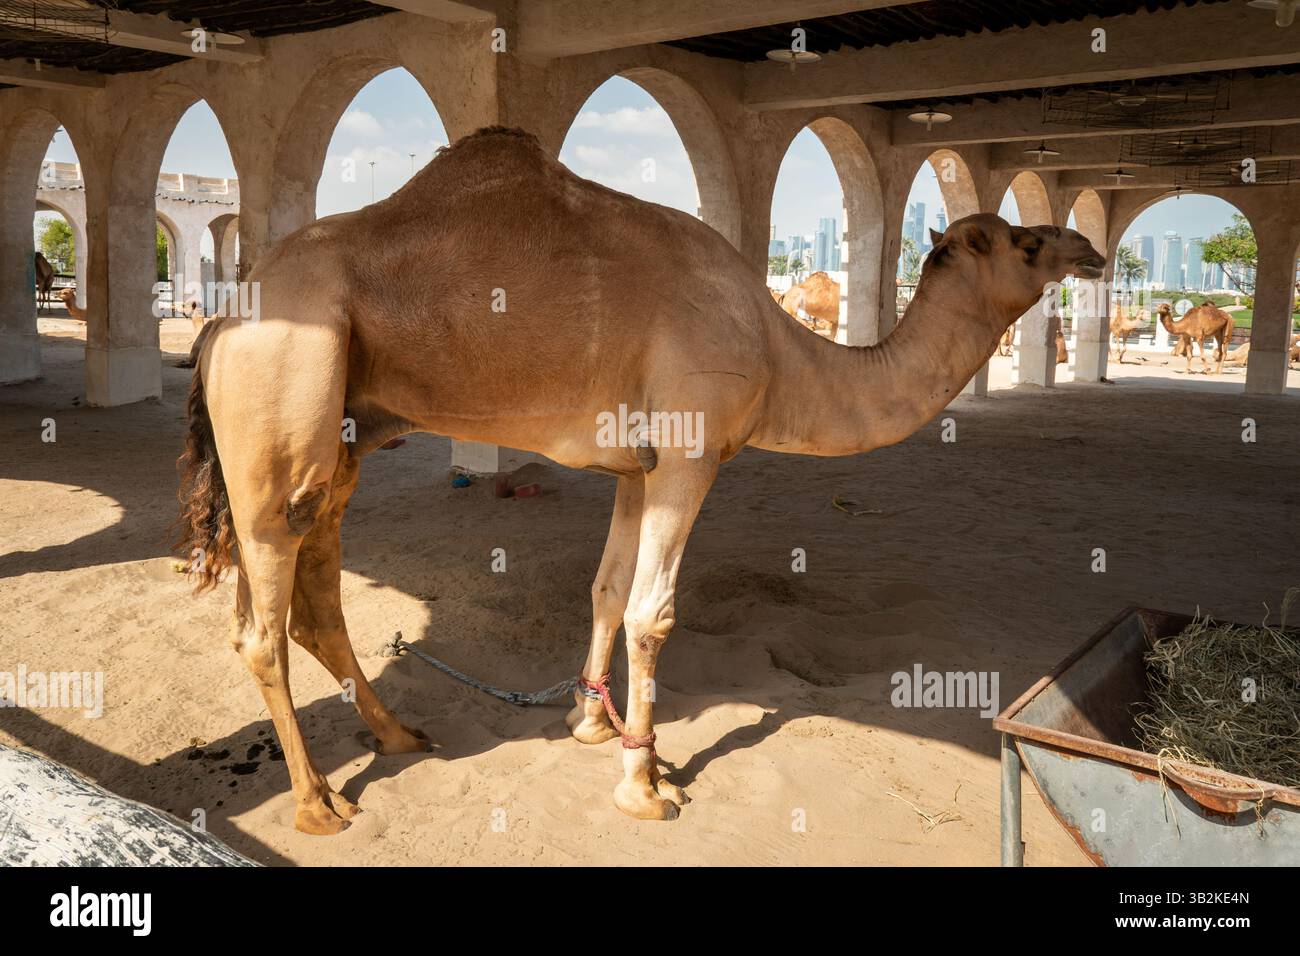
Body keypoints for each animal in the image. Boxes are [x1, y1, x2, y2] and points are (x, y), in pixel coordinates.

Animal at [176, 127, 1105, 834]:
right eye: (1026, 240)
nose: (1090, 248)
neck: (780, 348)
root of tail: (223, 315)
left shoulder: (638, 465)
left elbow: (606, 589)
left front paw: (589, 723)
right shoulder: (690, 455)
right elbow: (653, 614)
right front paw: (646, 784)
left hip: (342, 439)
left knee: (315, 599)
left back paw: (401, 735)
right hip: (284, 407)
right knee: (261, 624)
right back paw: (318, 804)